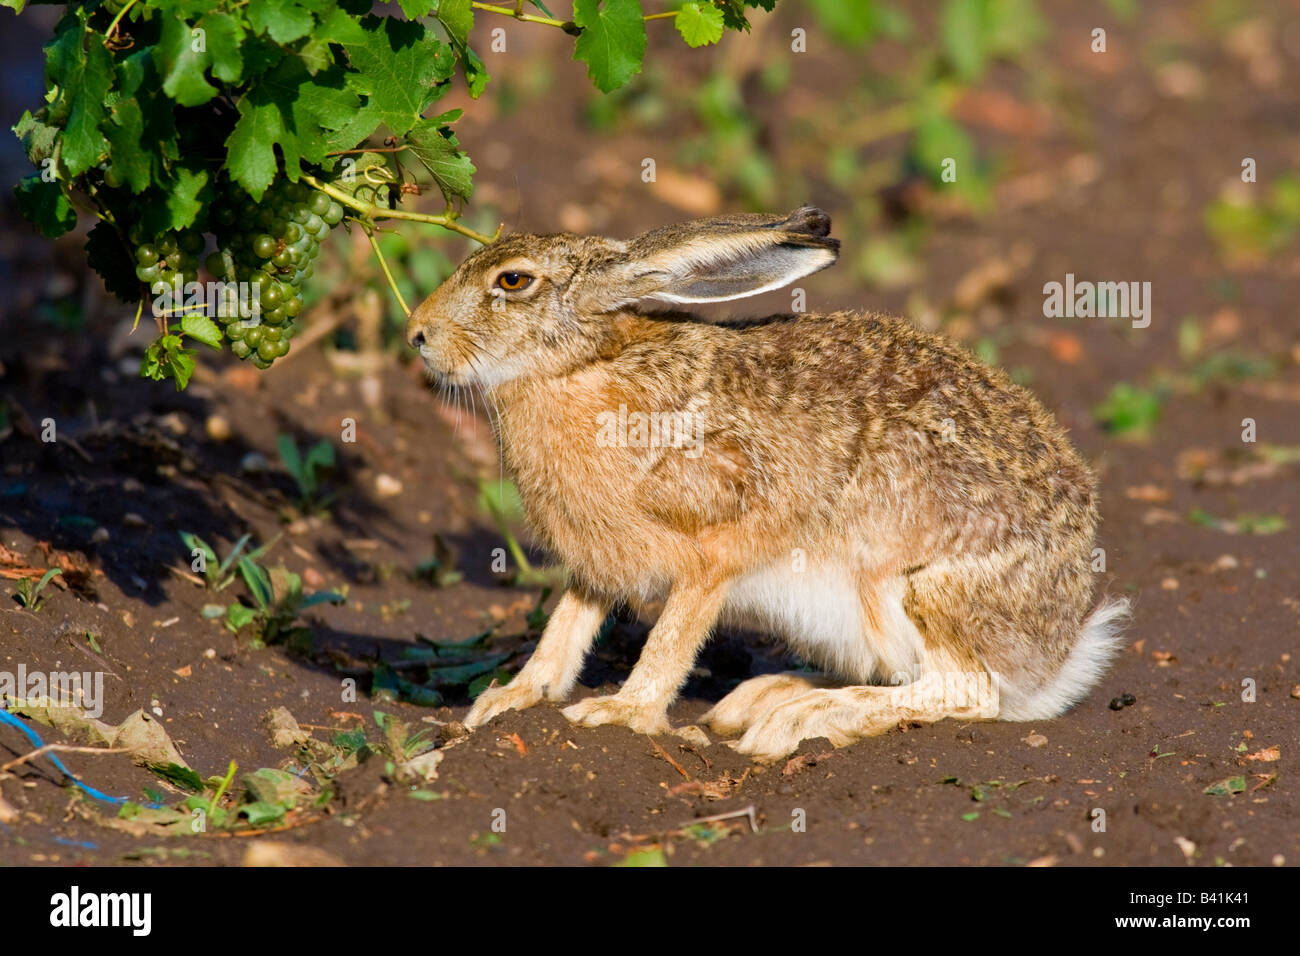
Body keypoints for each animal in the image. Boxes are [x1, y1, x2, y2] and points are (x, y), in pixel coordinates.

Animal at [405, 205, 1129, 763]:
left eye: (513, 280)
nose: (417, 334)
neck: (578, 368)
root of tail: (1059, 650)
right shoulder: (596, 564)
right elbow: (564, 631)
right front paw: (506, 699)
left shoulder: (714, 551)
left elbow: (671, 640)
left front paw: (618, 716)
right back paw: (763, 697)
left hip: (916, 590)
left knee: (968, 691)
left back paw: (801, 720)